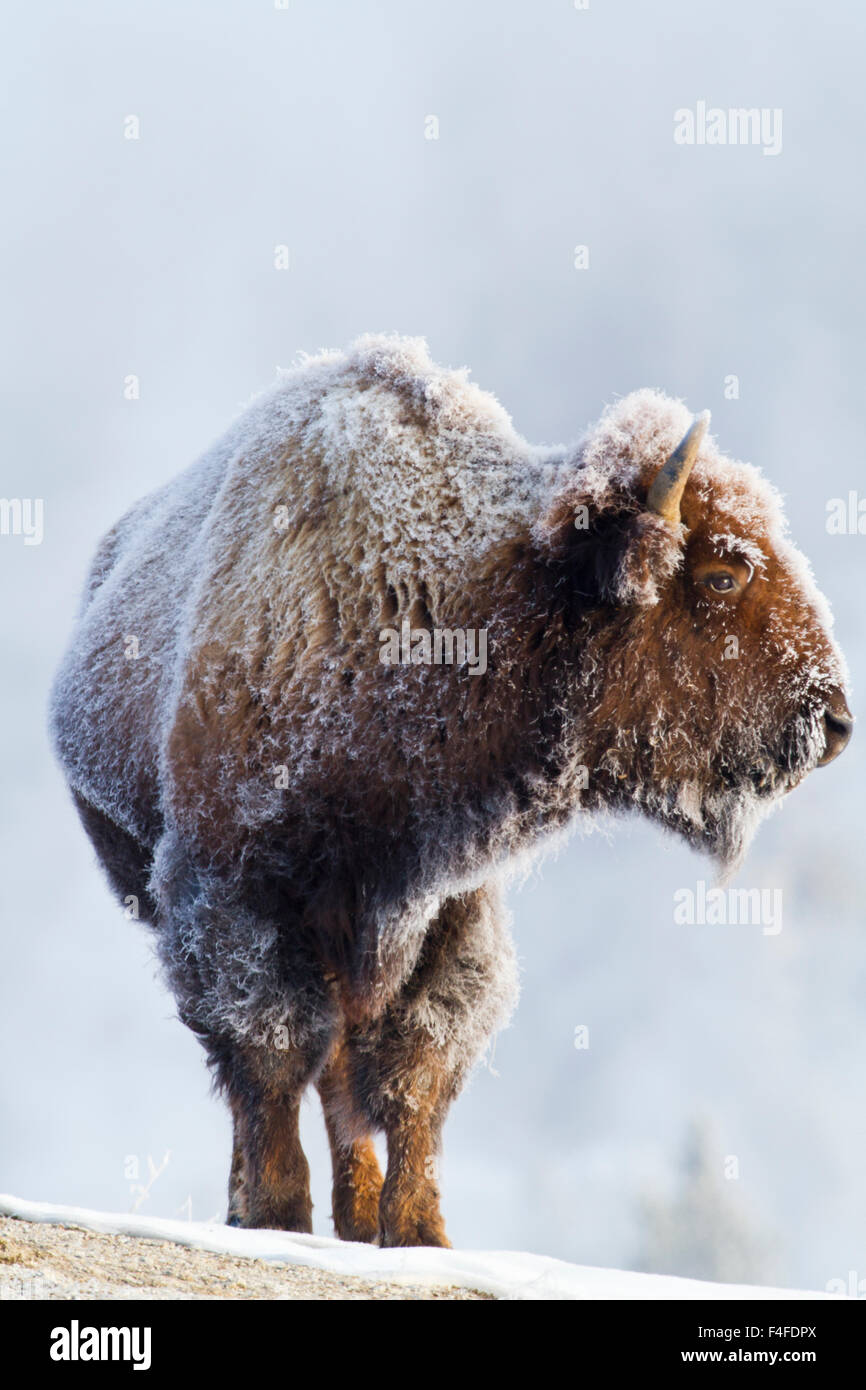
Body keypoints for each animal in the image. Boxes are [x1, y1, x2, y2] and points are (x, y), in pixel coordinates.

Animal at [49, 334, 852, 1247]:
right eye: (721, 575)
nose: (834, 721)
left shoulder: (447, 908)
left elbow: (415, 1072)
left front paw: (416, 1231)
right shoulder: (236, 897)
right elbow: (273, 1053)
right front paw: (279, 1213)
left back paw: (355, 1212)